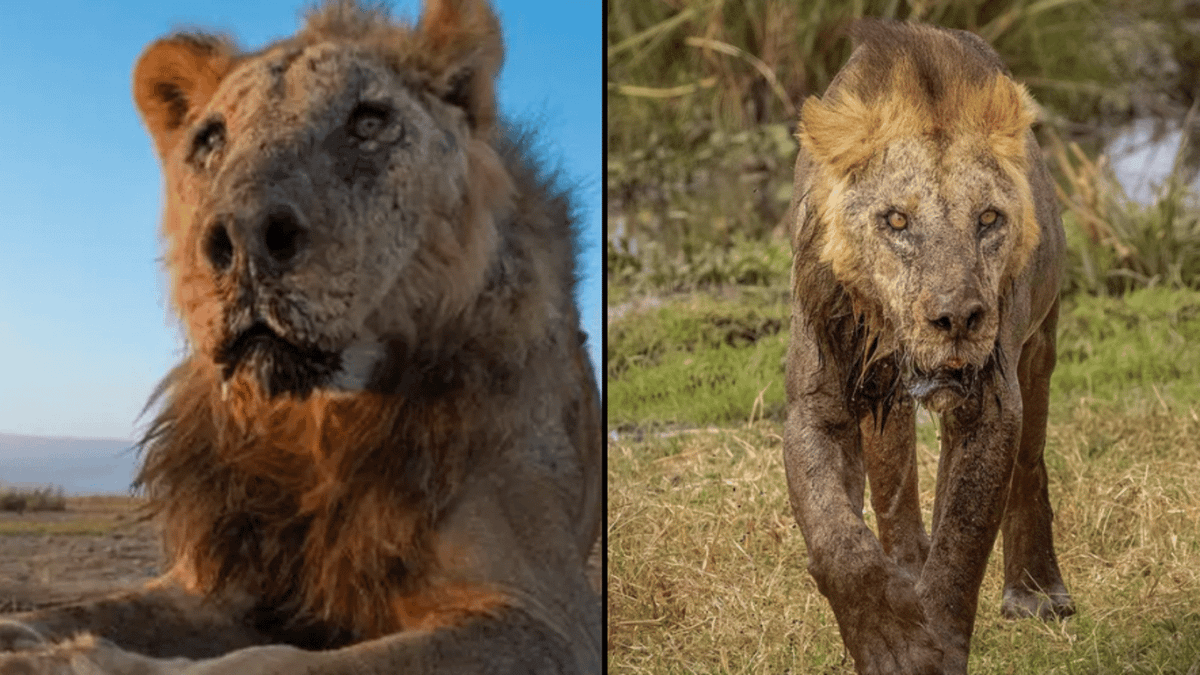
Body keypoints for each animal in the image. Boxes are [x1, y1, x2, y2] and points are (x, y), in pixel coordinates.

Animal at [0, 1, 601, 673]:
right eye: (210, 139)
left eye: (369, 122)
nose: (243, 236)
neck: (314, 422)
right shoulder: (217, 581)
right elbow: (92, 608)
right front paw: (27, 636)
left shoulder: (543, 616)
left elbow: (277, 661)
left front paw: (74, 659)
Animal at [783, 20, 1072, 675]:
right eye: (896, 221)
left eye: (988, 219)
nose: (957, 319)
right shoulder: (818, 403)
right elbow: (839, 541)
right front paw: (889, 639)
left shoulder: (990, 403)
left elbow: (961, 542)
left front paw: (931, 643)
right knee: (894, 487)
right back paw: (906, 568)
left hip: (1039, 343)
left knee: (1030, 464)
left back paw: (1036, 592)